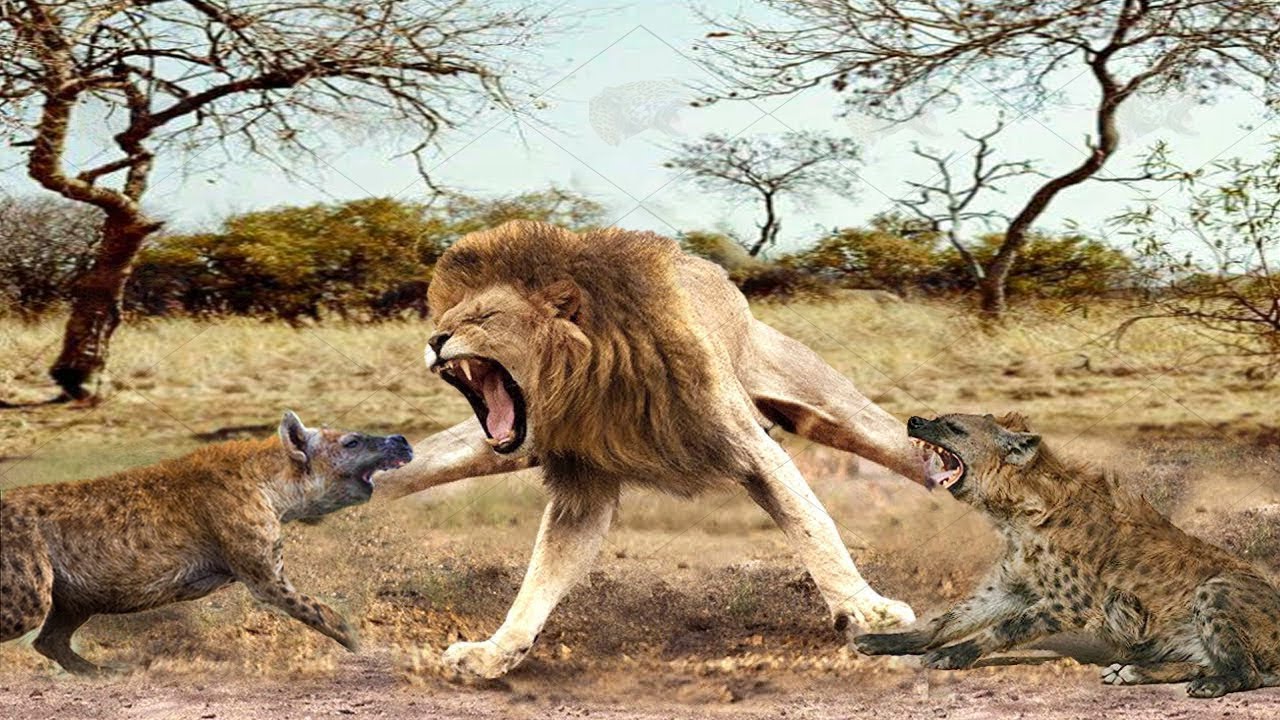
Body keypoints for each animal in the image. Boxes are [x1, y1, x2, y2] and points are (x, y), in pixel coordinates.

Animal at [378, 220, 928, 679]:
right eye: (447, 317)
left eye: (485, 316)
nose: (436, 339)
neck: (583, 380)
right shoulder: (580, 483)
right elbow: (542, 576)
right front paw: (495, 652)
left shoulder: (750, 446)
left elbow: (815, 525)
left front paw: (868, 610)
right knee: (418, 462)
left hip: (822, 398)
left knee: (899, 446)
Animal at [854, 412, 1280, 698]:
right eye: (936, 418)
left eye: (954, 427)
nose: (913, 420)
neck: (1018, 517)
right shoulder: (1013, 584)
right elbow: (950, 618)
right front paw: (884, 641)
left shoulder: (1073, 602)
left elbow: (1007, 627)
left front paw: (951, 656)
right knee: (1207, 661)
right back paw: (1131, 672)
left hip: (1217, 589)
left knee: (1248, 672)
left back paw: (1208, 684)